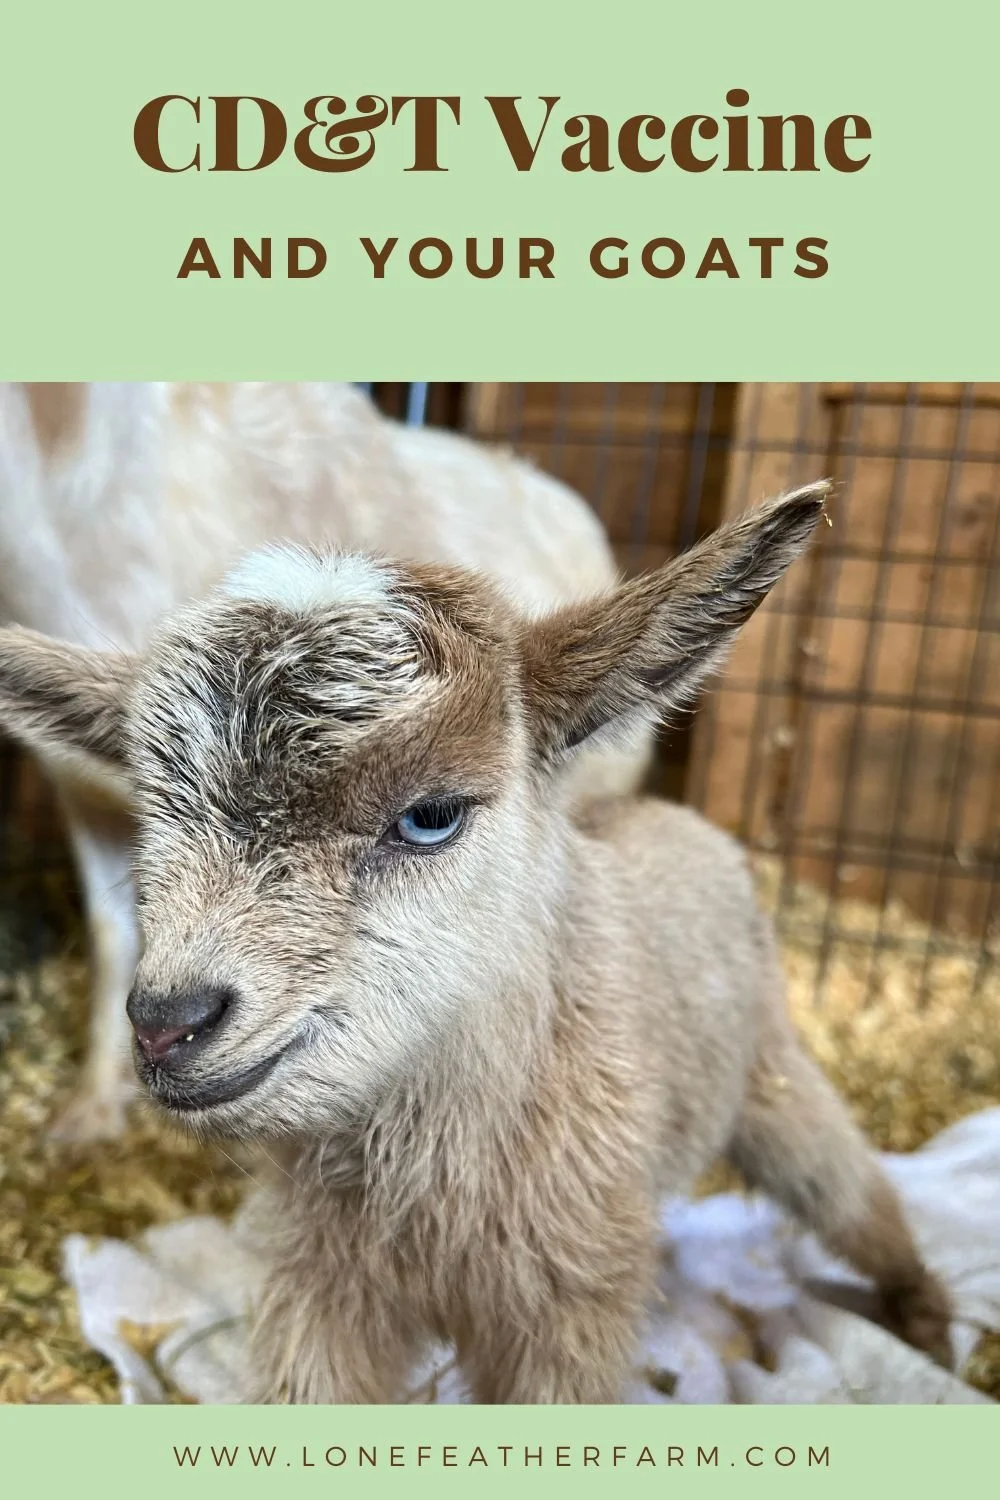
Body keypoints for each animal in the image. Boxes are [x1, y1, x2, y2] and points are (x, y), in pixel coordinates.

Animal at [0, 482, 954, 1400]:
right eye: (153, 813)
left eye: (431, 815)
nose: (168, 1024)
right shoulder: (319, 1294)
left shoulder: (569, 1315)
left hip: (773, 1075)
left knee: (853, 1191)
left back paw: (930, 1326)